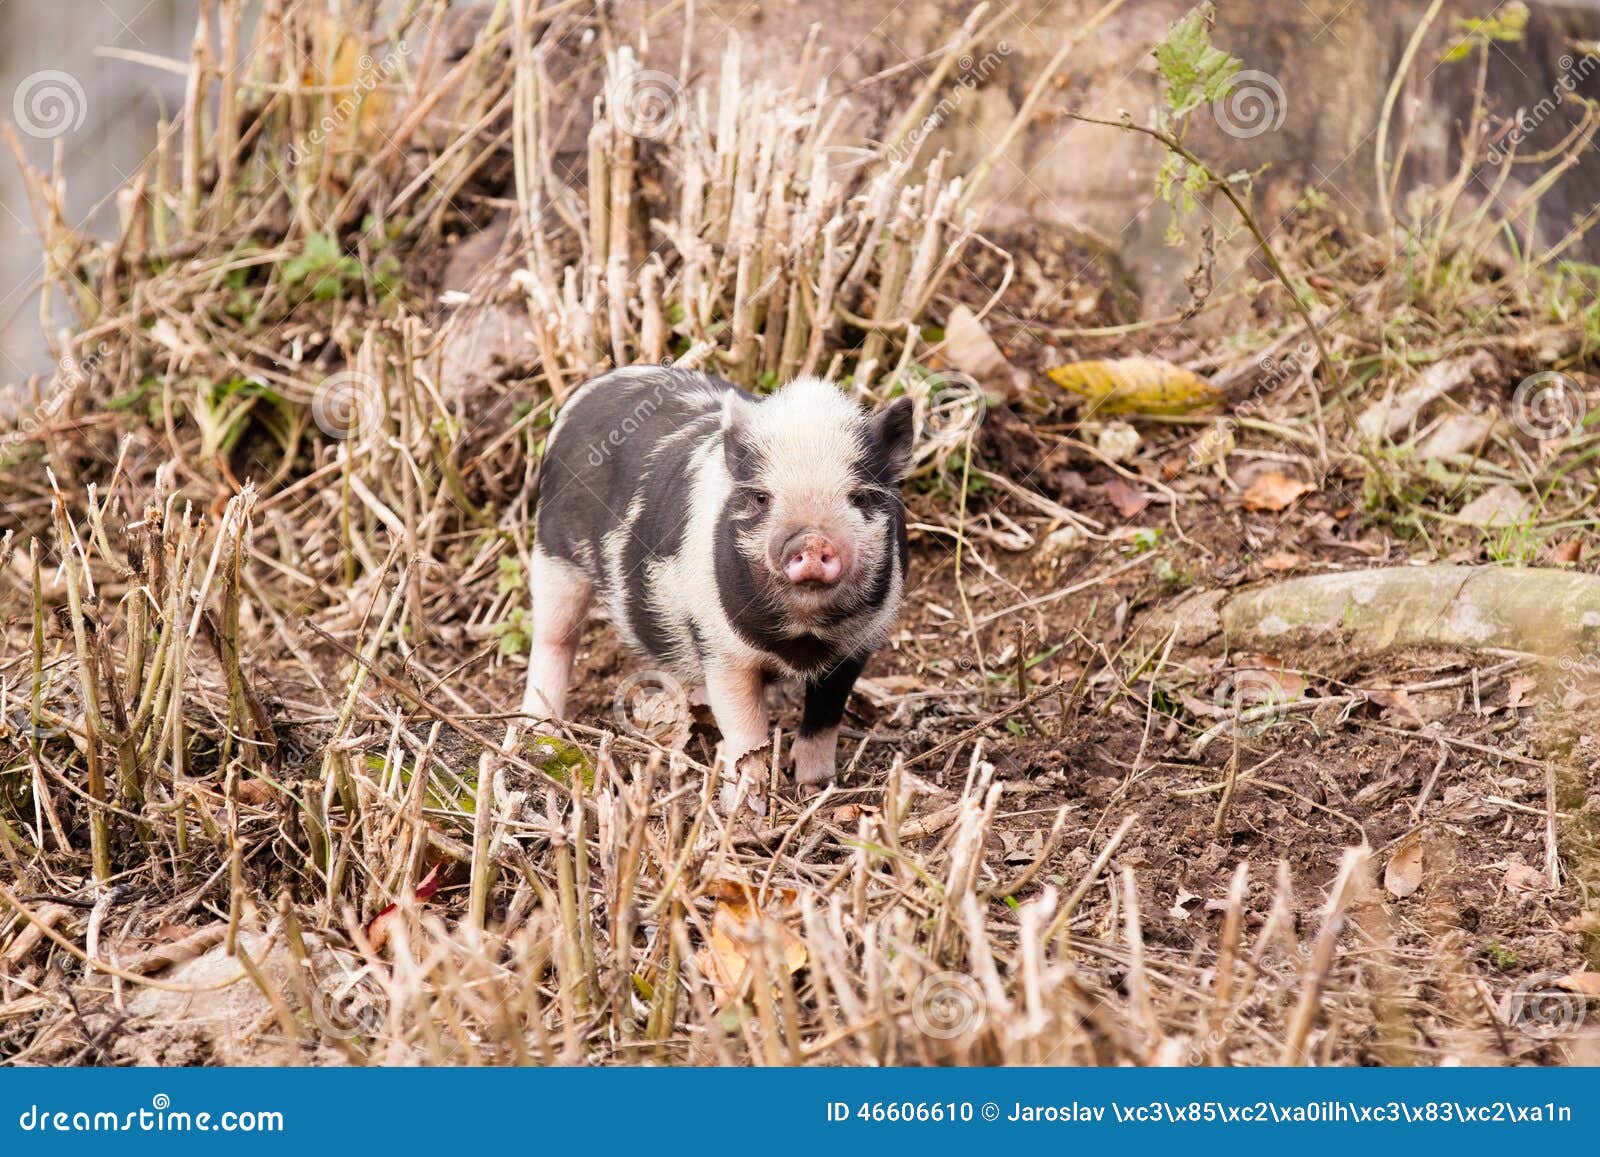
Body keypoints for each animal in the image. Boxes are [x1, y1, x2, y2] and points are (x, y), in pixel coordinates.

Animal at [528, 366, 914, 807]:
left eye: (861, 497)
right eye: (761, 497)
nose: (813, 541)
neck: (803, 635)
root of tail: (593, 388)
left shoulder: (857, 646)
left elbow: (825, 717)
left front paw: (816, 787)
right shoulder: (721, 649)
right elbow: (744, 727)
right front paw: (745, 804)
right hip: (553, 553)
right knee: (553, 638)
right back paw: (540, 736)